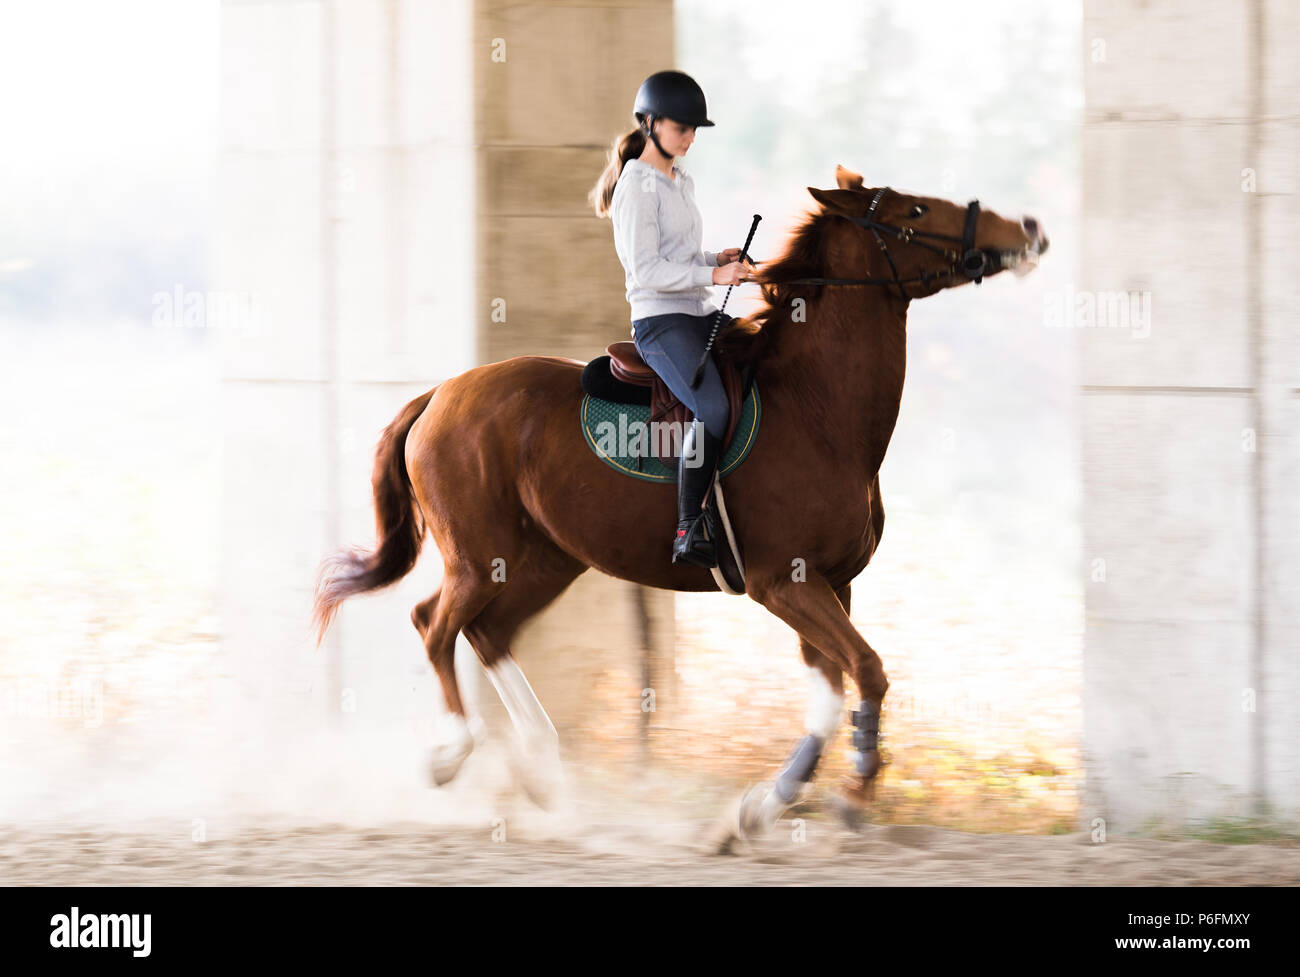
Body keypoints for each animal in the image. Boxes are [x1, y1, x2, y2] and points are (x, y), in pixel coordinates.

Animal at [313, 163, 1049, 840]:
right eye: (917, 209)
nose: (1029, 230)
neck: (815, 408)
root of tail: (439, 394)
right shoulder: (785, 584)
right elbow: (867, 671)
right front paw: (852, 792)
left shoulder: (830, 585)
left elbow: (830, 691)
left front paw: (763, 805)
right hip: (478, 556)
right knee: (434, 623)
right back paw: (453, 755)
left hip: (549, 560)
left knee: (487, 632)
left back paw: (542, 772)